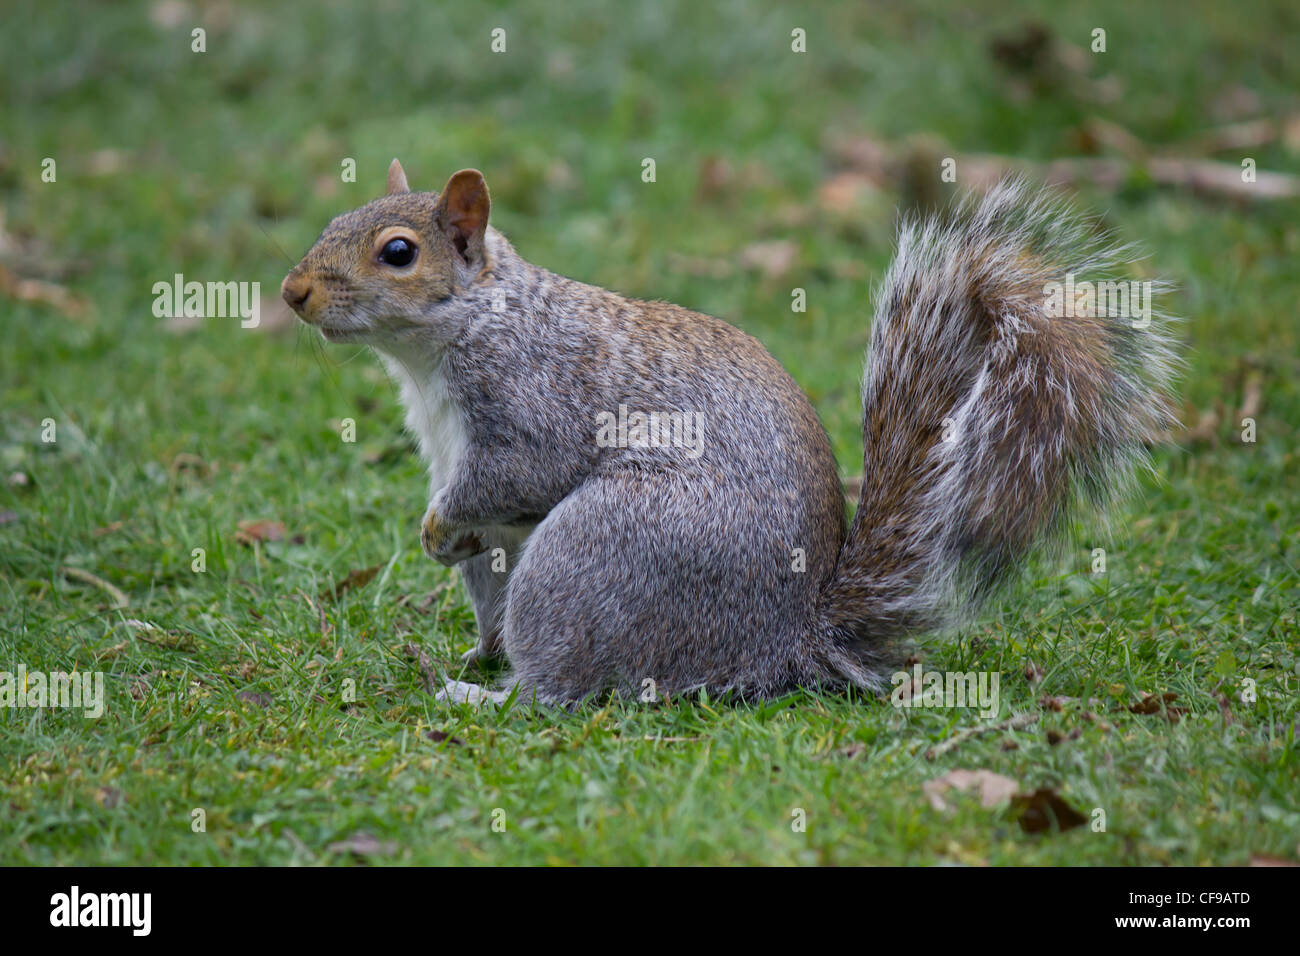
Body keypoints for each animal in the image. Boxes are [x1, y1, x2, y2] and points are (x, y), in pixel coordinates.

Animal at [281, 159, 1177, 706]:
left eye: (398, 252)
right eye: (335, 216)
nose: (292, 292)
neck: (447, 343)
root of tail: (790, 641)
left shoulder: (533, 407)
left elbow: (514, 475)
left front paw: (436, 525)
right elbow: (471, 505)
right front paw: (440, 534)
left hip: (598, 550)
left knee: (562, 688)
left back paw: (486, 694)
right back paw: (475, 660)